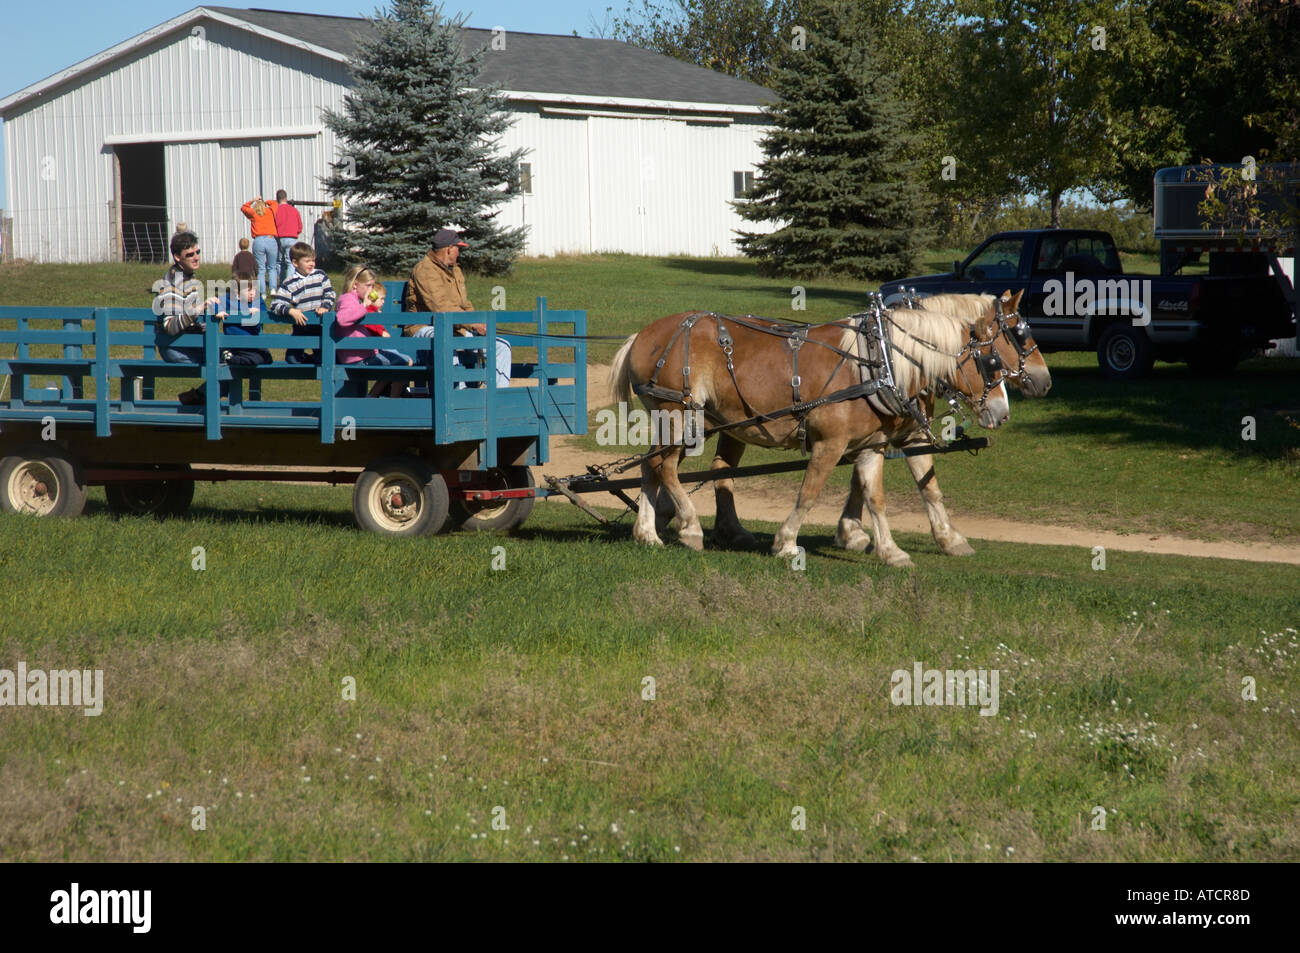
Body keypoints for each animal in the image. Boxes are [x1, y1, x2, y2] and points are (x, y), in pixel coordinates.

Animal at [609, 301, 1014, 558]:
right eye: (992, 362)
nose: (1003, 413)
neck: (876, 363)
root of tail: (643, 336)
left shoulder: (873, 445)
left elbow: (880, 496)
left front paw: (891, 550)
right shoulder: (830, 444)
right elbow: (809, 492)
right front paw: (787, 543)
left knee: (650, 465)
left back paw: (648, 532)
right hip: (679, 414)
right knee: (665, 467)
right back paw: (689, 526)